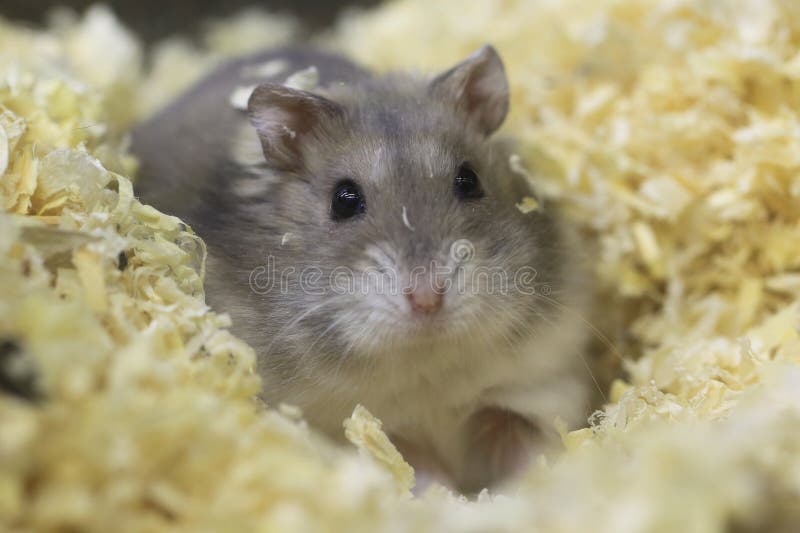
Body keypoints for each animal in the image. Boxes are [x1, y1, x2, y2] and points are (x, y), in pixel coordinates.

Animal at [132, 46, 592, 491]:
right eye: (344, 200)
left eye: (470, 180)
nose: (427, 299)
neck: (427, 362)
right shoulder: (329, 425)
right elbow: (409, 460)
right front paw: (441, 491)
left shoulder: (542, 382)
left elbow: (514, 430)